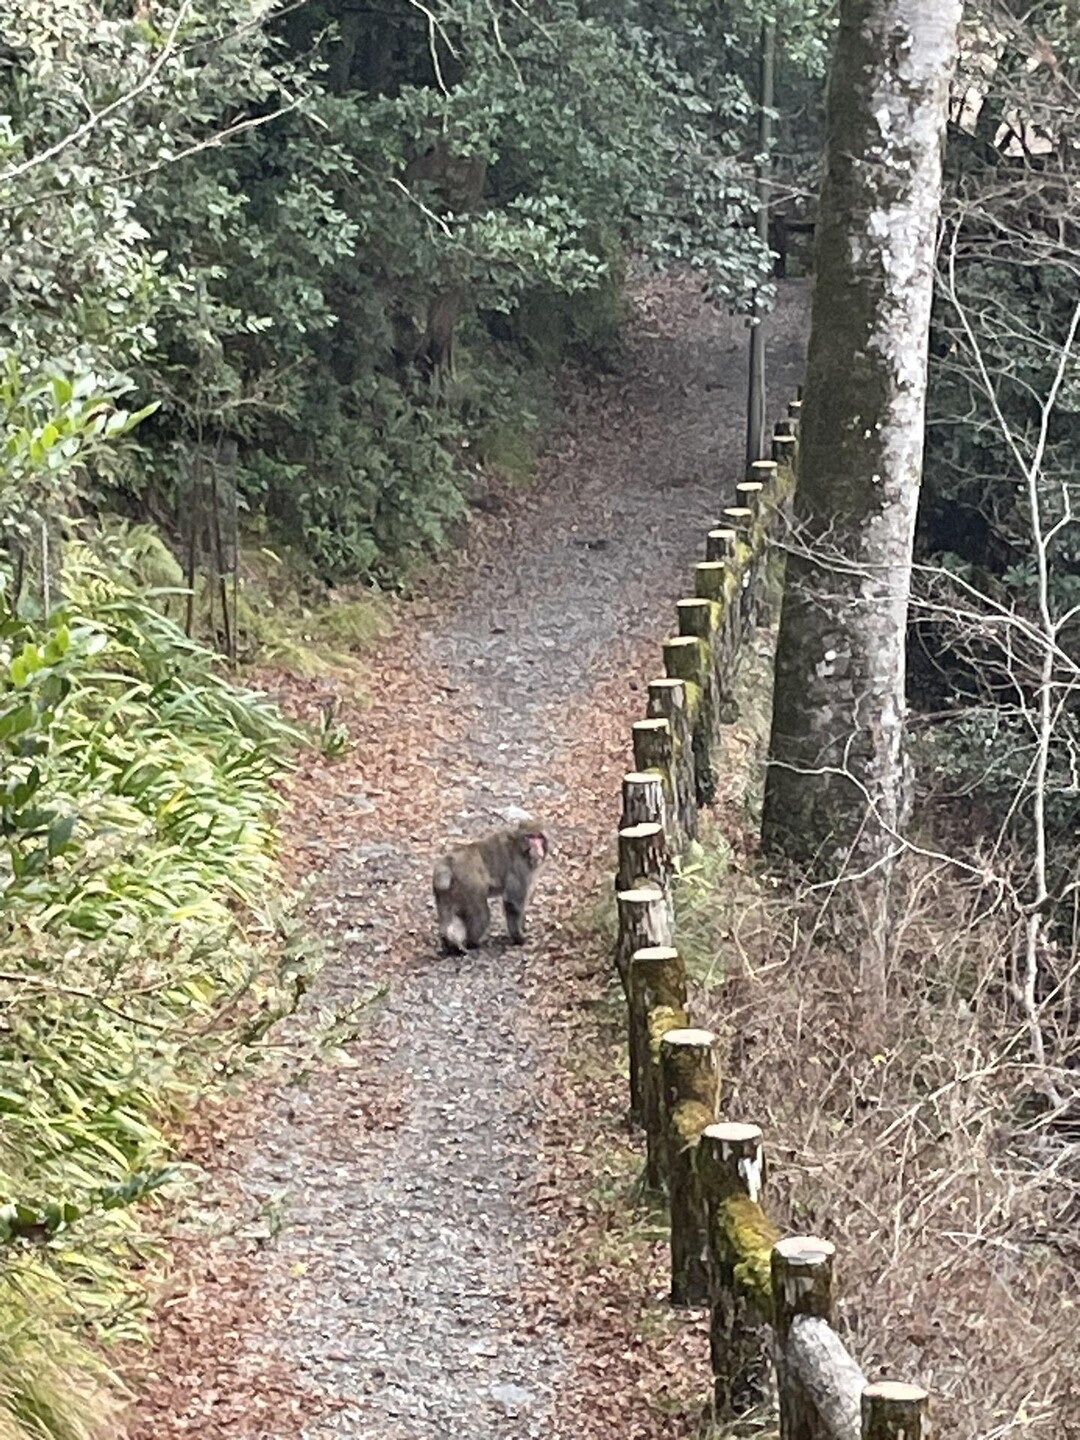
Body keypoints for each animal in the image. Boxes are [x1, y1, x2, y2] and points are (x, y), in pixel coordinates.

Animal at [432, 823, 550, 954]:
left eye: (539, 837)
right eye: (530, 837)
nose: (537, 848)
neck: (520, 847)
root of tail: (447, 864)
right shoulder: (520, 867)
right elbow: (512, 902)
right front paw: (519, 937)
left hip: (444, 892)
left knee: (447, 914)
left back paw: (449, 943)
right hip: (471, 885)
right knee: (482, 915)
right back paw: (472, 942)